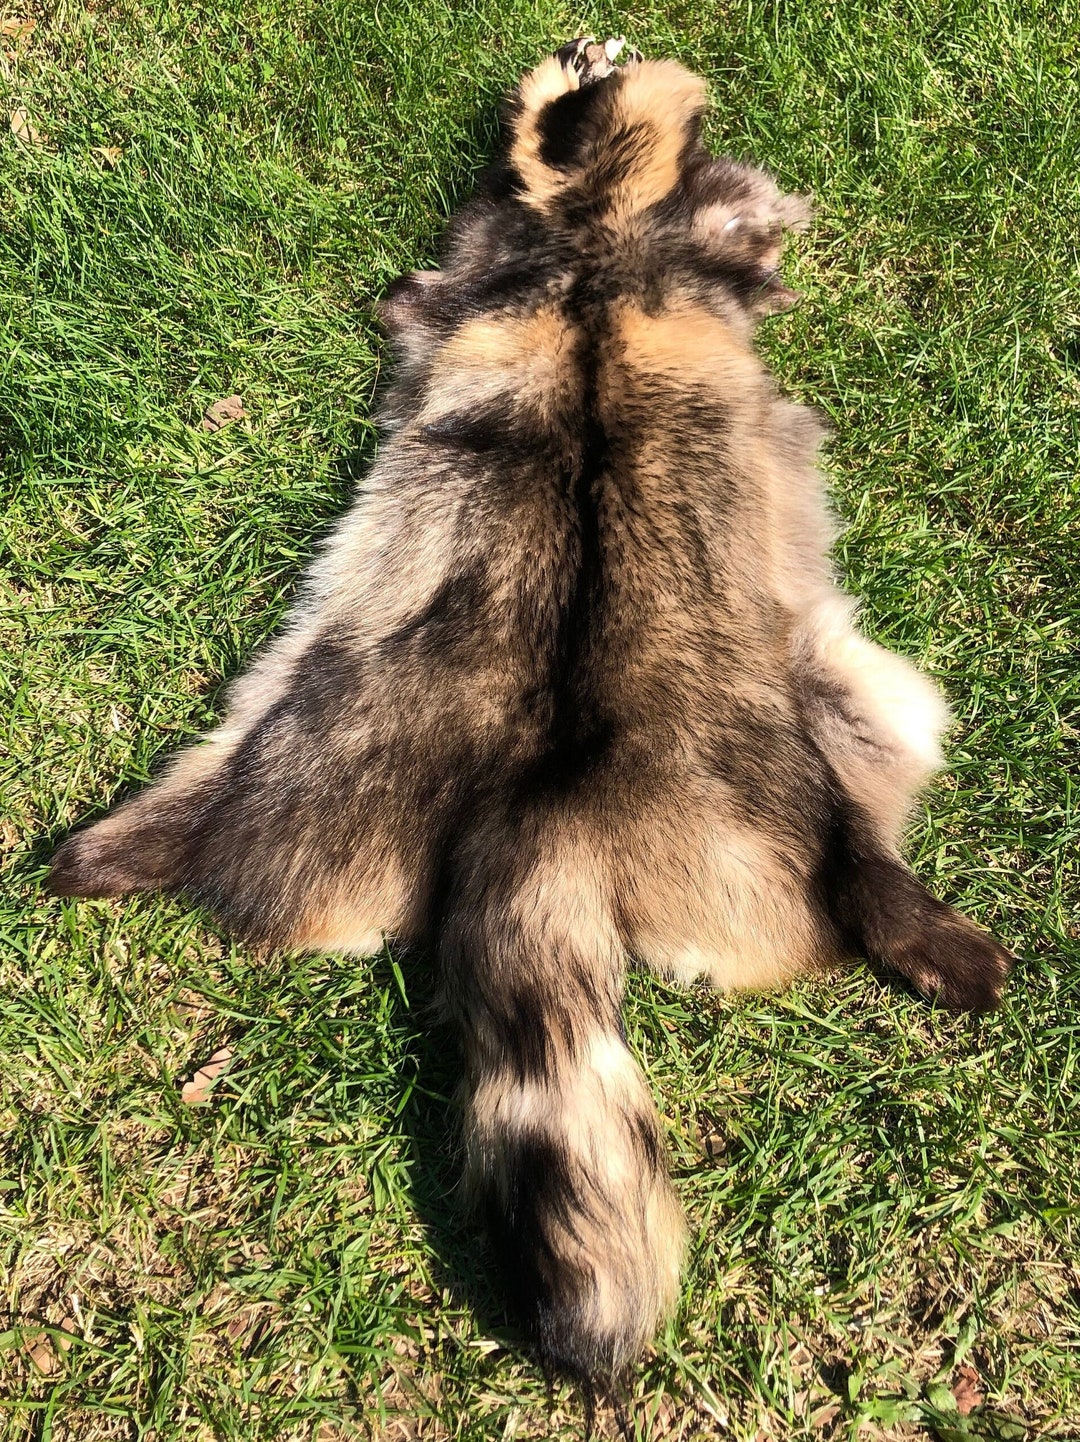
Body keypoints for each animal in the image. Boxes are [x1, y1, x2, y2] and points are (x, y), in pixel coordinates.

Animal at [51, 39, 1014, 1390]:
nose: (585, 42)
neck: (596, 235)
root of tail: (534, 808)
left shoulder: (480, 262)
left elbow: (431, 275)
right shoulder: (656, 232)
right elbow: (716, 206)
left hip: (291, 745)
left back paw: (111, 845)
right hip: (836, 719)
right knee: (870, 831)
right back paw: (933, 932)